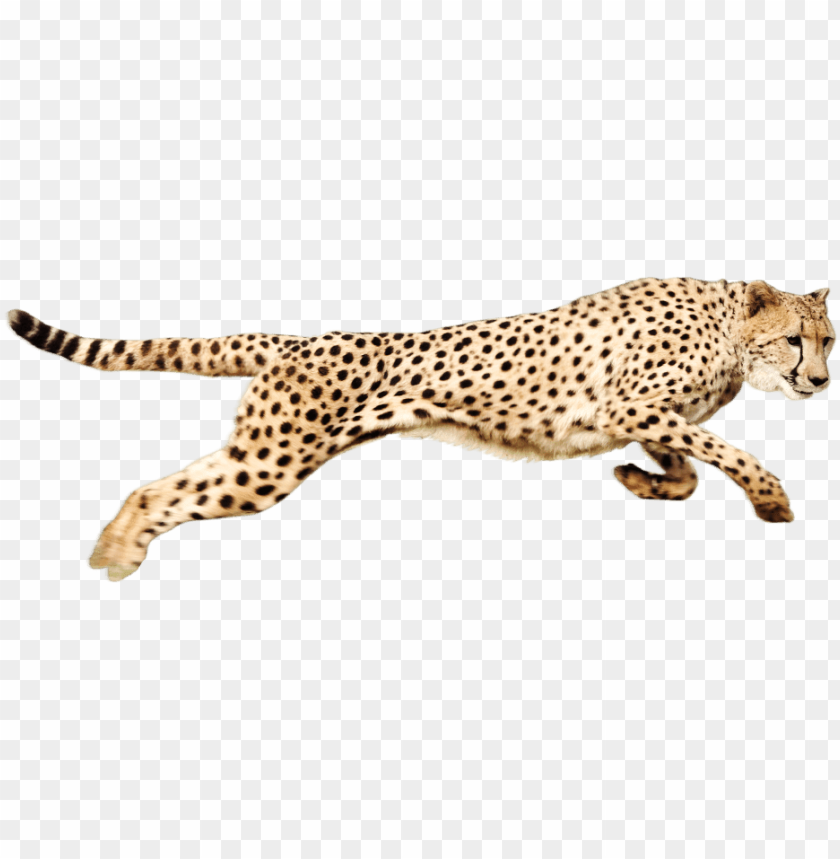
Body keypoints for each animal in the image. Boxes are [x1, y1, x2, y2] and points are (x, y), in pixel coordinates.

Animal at [8, 277, 834, 581]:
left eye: (829, 339)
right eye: (797, 339)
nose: (822, 381)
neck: (730, 328)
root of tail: (302, 341)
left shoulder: (648, 417)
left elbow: (688, 469)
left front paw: (637, 479)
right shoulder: (628, 406)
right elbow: (726, 453)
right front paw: (771, 498)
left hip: (261, 453)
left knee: (162, 485)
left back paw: (114, 546)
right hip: (269, 462)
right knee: (161, 490)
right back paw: (118, 553)